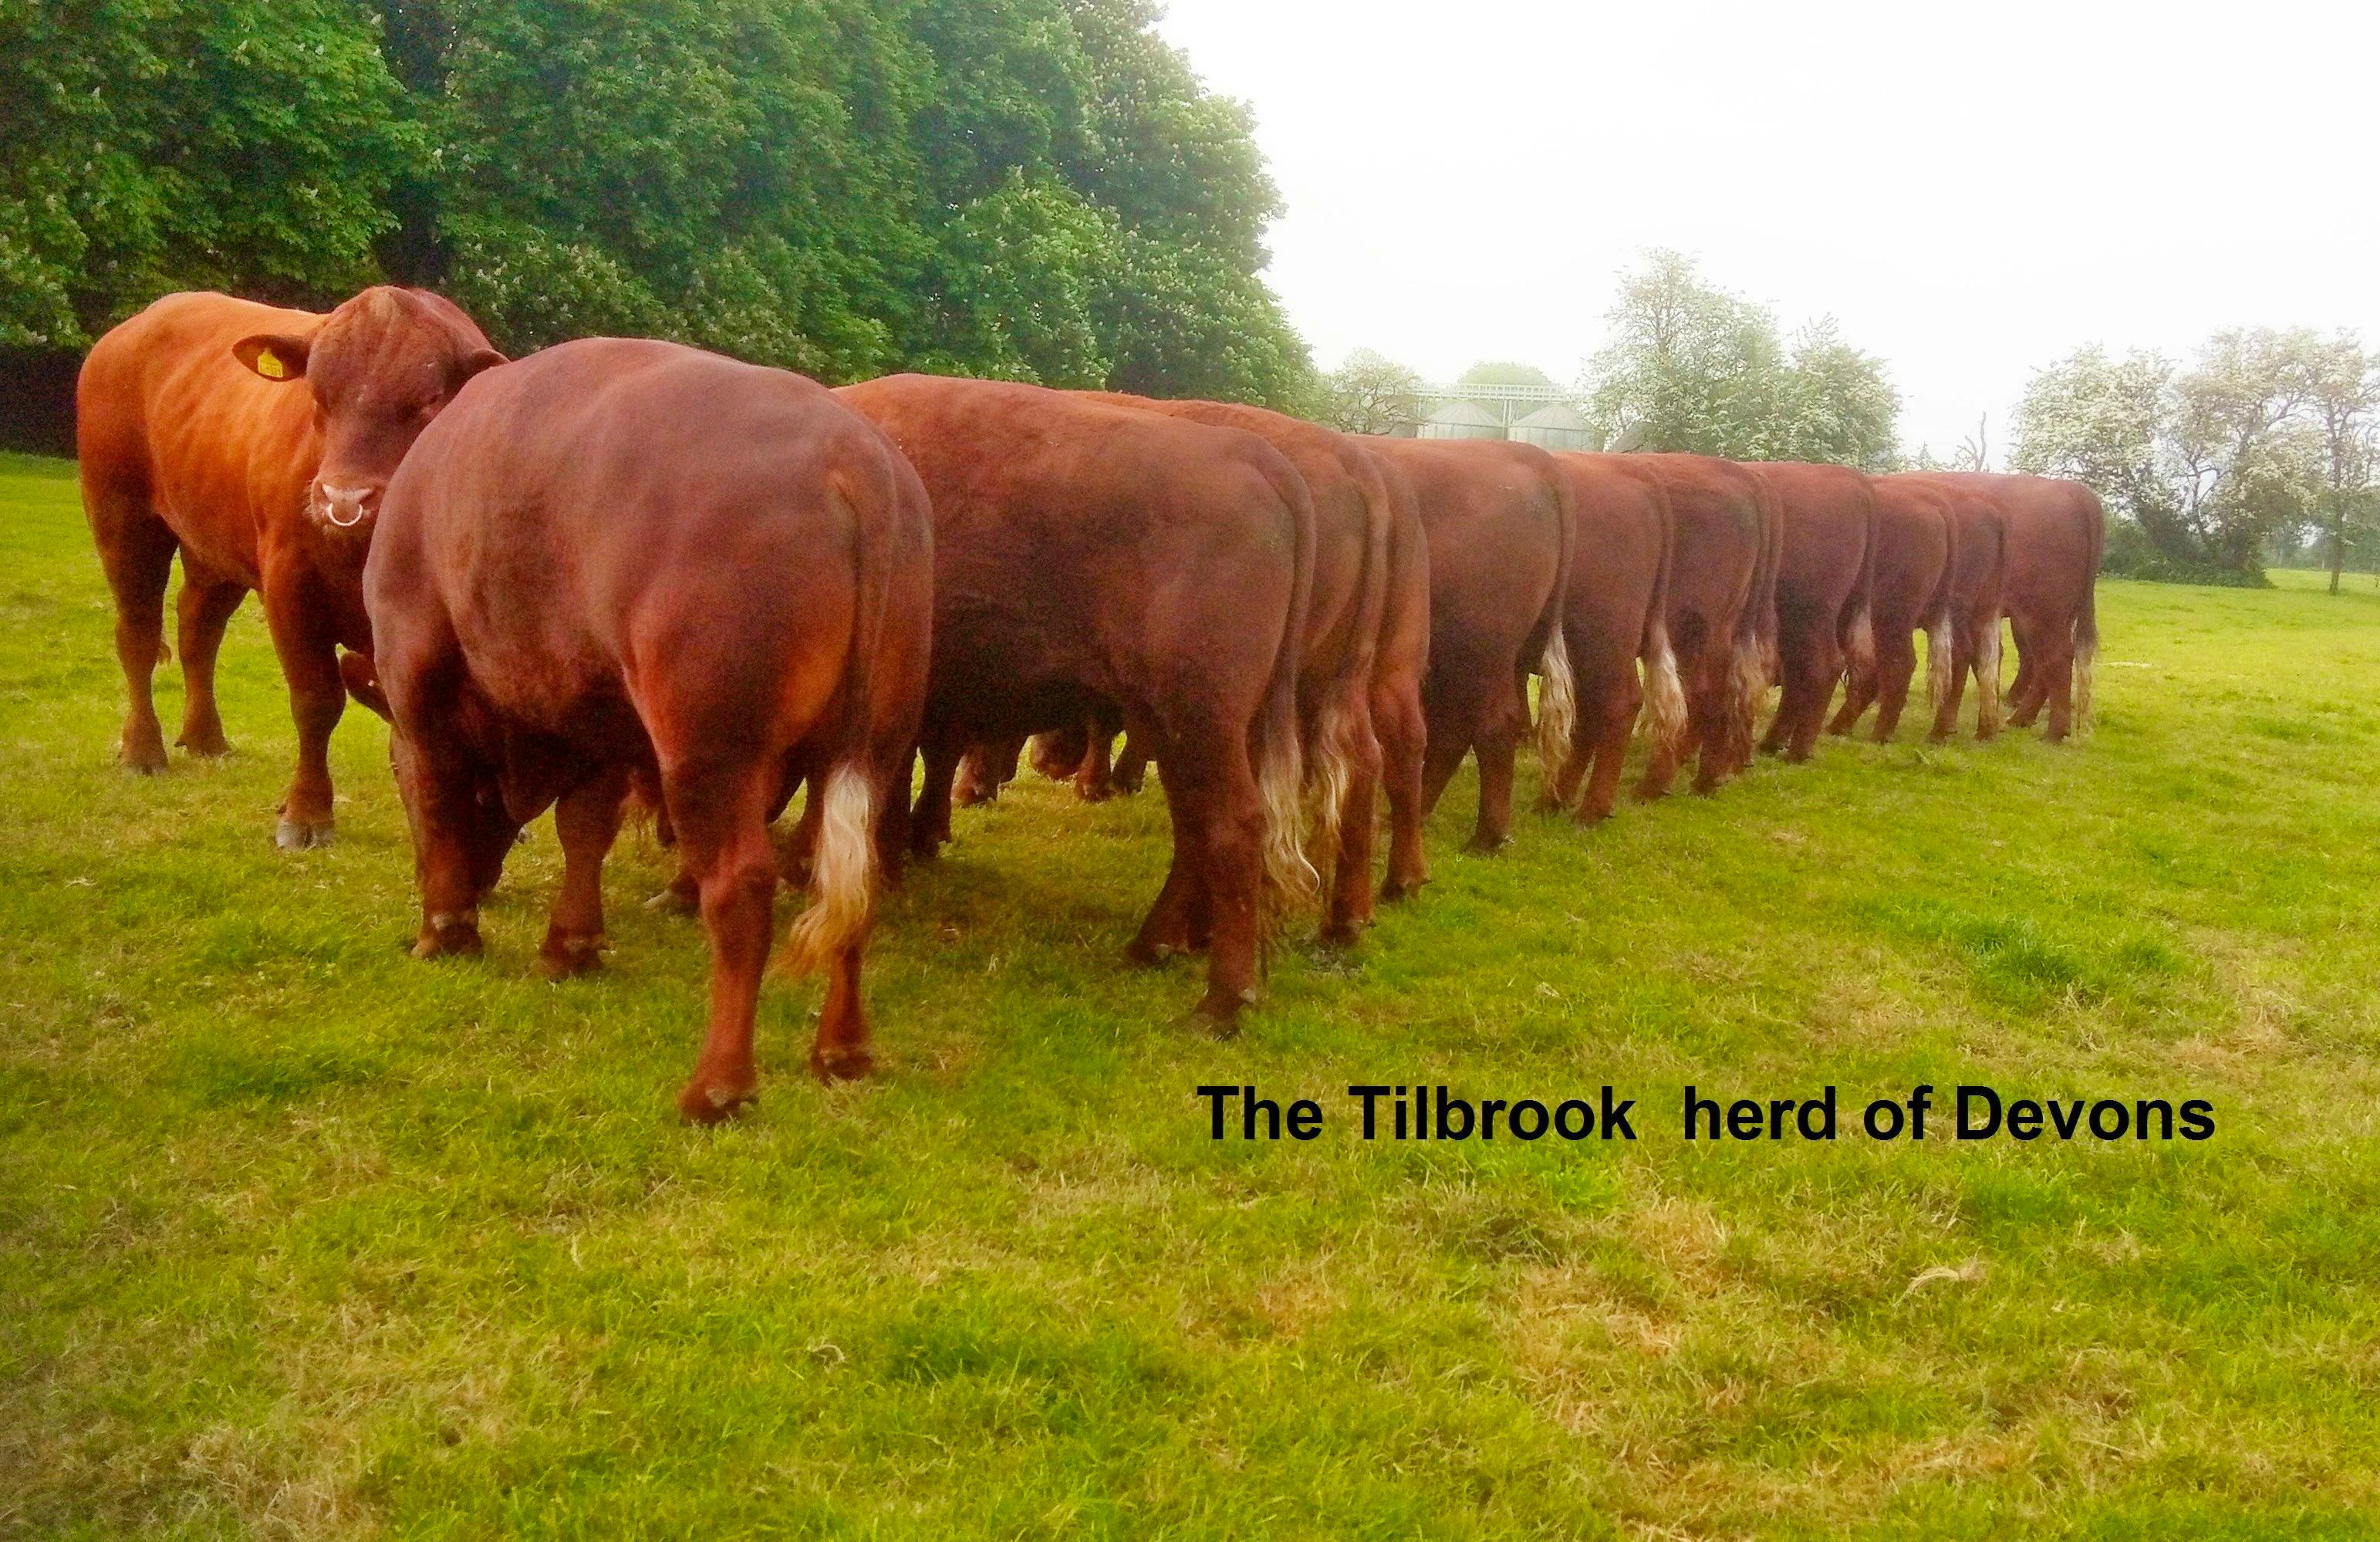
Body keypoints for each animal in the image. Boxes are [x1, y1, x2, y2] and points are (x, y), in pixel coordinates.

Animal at [76, 288, 504, 847]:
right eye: (319, 396)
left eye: (430, 400)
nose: (343, 499)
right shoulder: (290, 586)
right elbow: (315, 701)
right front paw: (306, 814)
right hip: (122, 516)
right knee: (139, 635)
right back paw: (143, 751)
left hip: (215, 541)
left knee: (198, 628)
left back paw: (206, 737)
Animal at [365, 338, 932, 1122]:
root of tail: (857, 458)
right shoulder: (598, 714)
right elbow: (584, 826)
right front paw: (570, 943)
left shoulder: (415, 670)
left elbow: (439, 793)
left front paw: (446, 930)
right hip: (874, 745)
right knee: (852, 875)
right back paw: (842, 1050)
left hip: (709, 748)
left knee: (740, 888)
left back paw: (718, 1085)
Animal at [834, 375, 1314, 1031]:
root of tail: (1257, 458)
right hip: (1176, 723)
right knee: (1193, 824)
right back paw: (1156, 944)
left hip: (1200, 718)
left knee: (1232, 824)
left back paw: (1220, 1003)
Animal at [1749, 462, 1876, 762]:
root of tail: (1854, 480)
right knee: (1799, 673)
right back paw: (1773, 743)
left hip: (1807, 614)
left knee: (1820, 666)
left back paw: (1796, 751)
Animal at [1929, 473, 2102, 742]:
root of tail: (2072, 490)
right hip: (2045, 617)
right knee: (2043, 661)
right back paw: (2021, 718)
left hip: (2040, 614)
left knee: (2054, 657)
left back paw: (2052, 731)